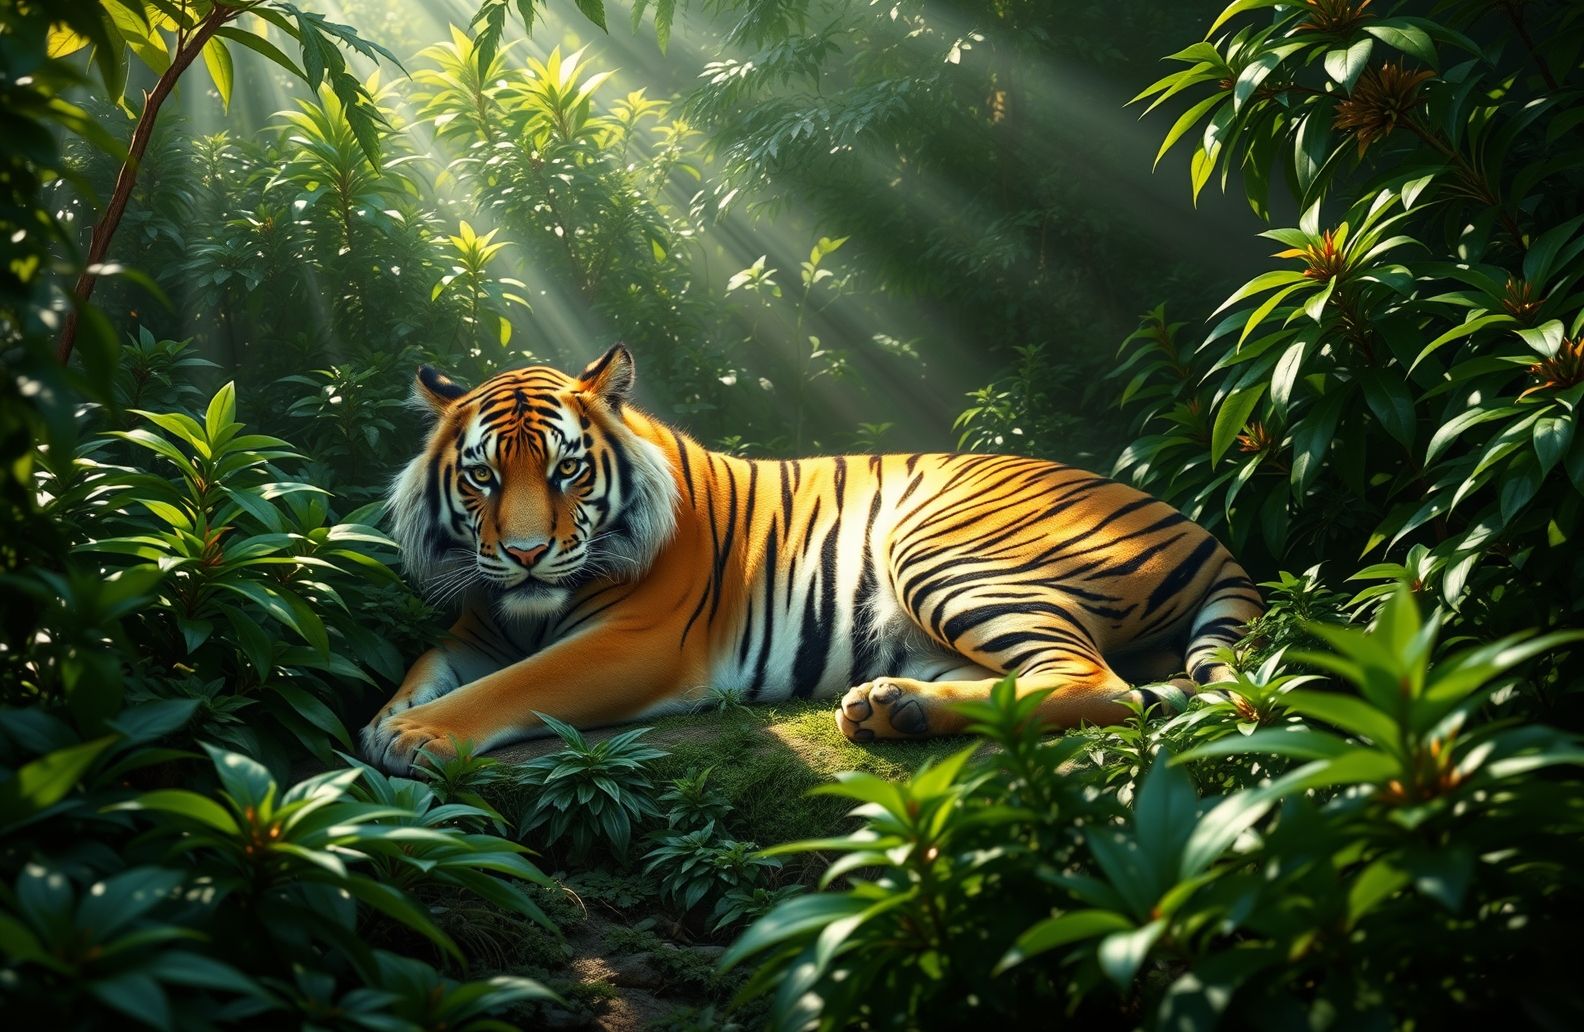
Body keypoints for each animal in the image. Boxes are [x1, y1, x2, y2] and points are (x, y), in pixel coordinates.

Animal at [361, 345, 1263, 773]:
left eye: (566, 471)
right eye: (482, 475)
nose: (524, 554)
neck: (523, 611)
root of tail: (1208, 533)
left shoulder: (635, 643)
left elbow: (516, 686)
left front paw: (410, 735)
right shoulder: (476, 629)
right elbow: (425, 662)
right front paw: (386, 717)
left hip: (945, 551)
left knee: (1101, 683)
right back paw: (892, 709)